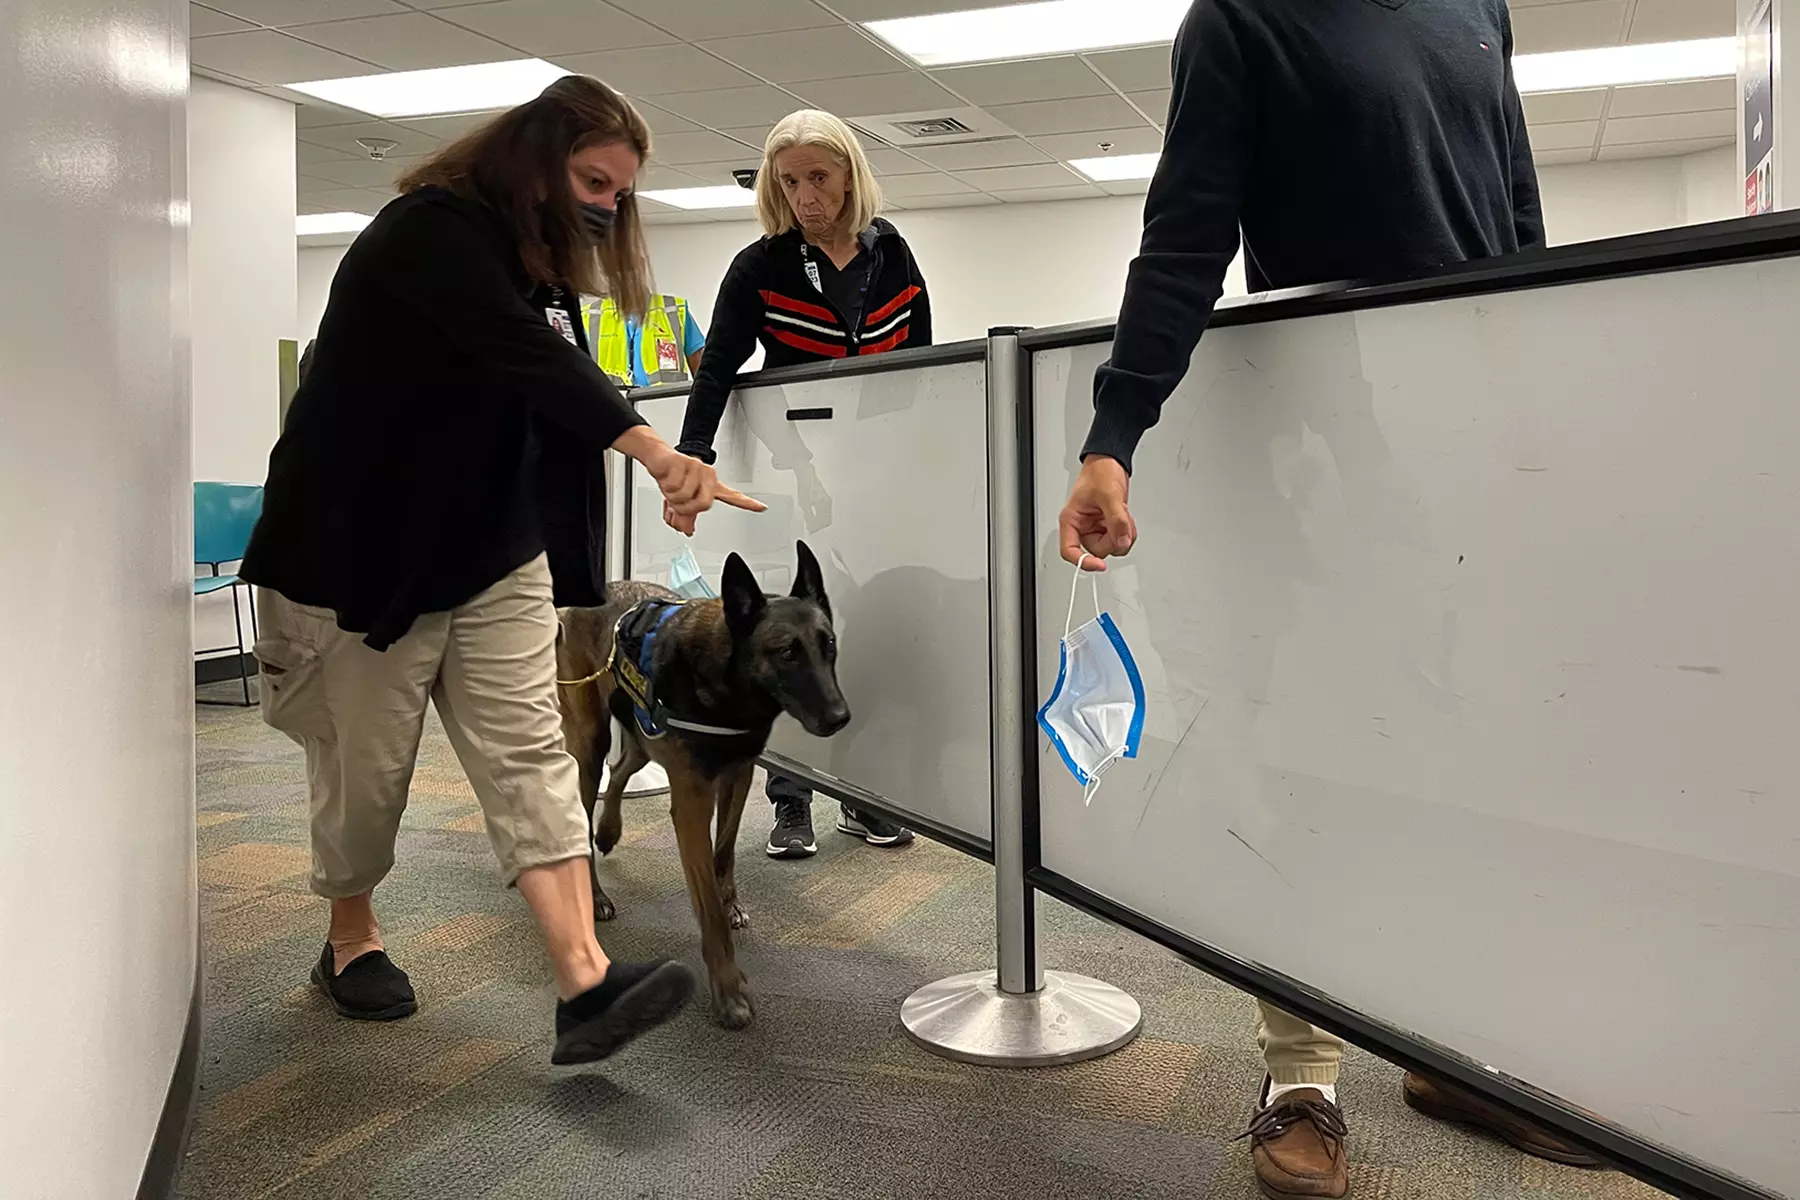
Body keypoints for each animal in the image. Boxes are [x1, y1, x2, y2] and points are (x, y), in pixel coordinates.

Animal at [554, 539, 849, 1029]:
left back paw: (610, 830)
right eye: (787, 653)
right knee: (586, 800)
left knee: (623, 768)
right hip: (591, 742)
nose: (840, 717)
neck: (728, 685)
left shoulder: (737, 776)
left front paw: (730, 903)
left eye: (829, 646)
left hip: (642, 737)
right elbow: (707, 904)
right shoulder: (692, 802)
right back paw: (593, 894)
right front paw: (728, 989)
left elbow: (723, 854)